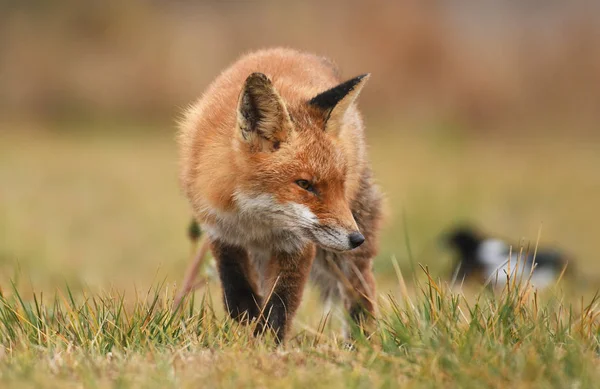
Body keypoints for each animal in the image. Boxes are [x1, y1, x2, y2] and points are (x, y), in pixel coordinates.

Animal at [178, 48, 384, 342]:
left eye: (340, 184)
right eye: (305, 184)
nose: (356, 238)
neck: (257, 220)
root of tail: (299, 52)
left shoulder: (298, 245)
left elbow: (281, 306)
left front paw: (268, 344)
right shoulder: (219, 229)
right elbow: (236, 292)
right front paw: (250, 323)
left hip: (346, 251)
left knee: (360, 291)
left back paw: (361, 343)